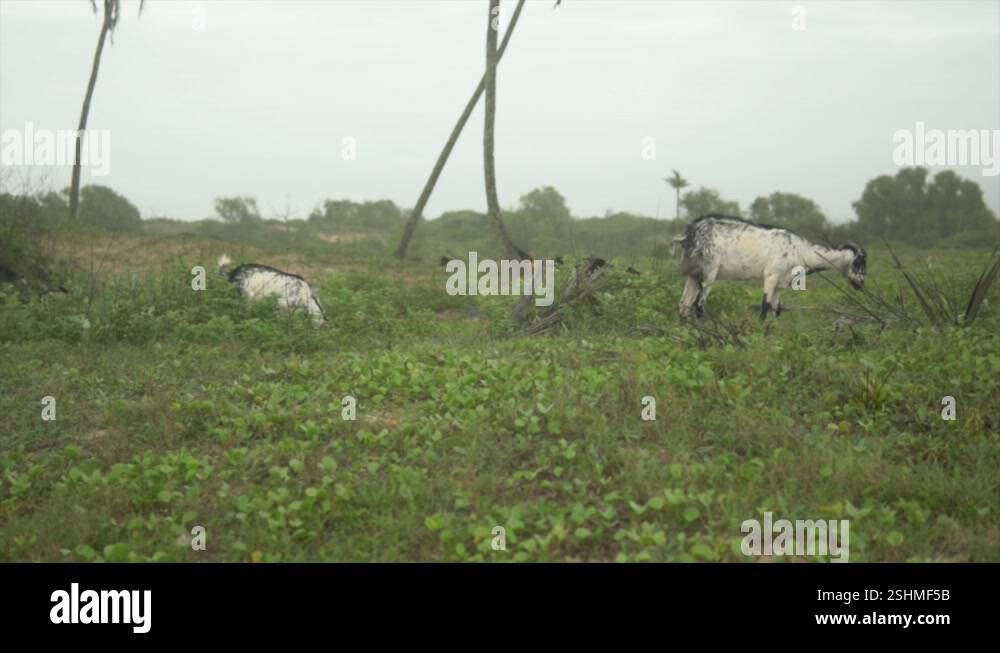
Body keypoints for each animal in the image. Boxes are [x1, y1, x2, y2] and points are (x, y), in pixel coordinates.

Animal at [675, 214, 867, 319]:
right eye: (858, 262)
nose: (861, 284)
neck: (800, 250)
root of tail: (691, 230)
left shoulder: (781, 283)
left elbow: (776, 309)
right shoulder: (771, 275)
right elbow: (765, 306)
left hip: (694, 273)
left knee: (684, 304)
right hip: (709, 270)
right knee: (699, 303)